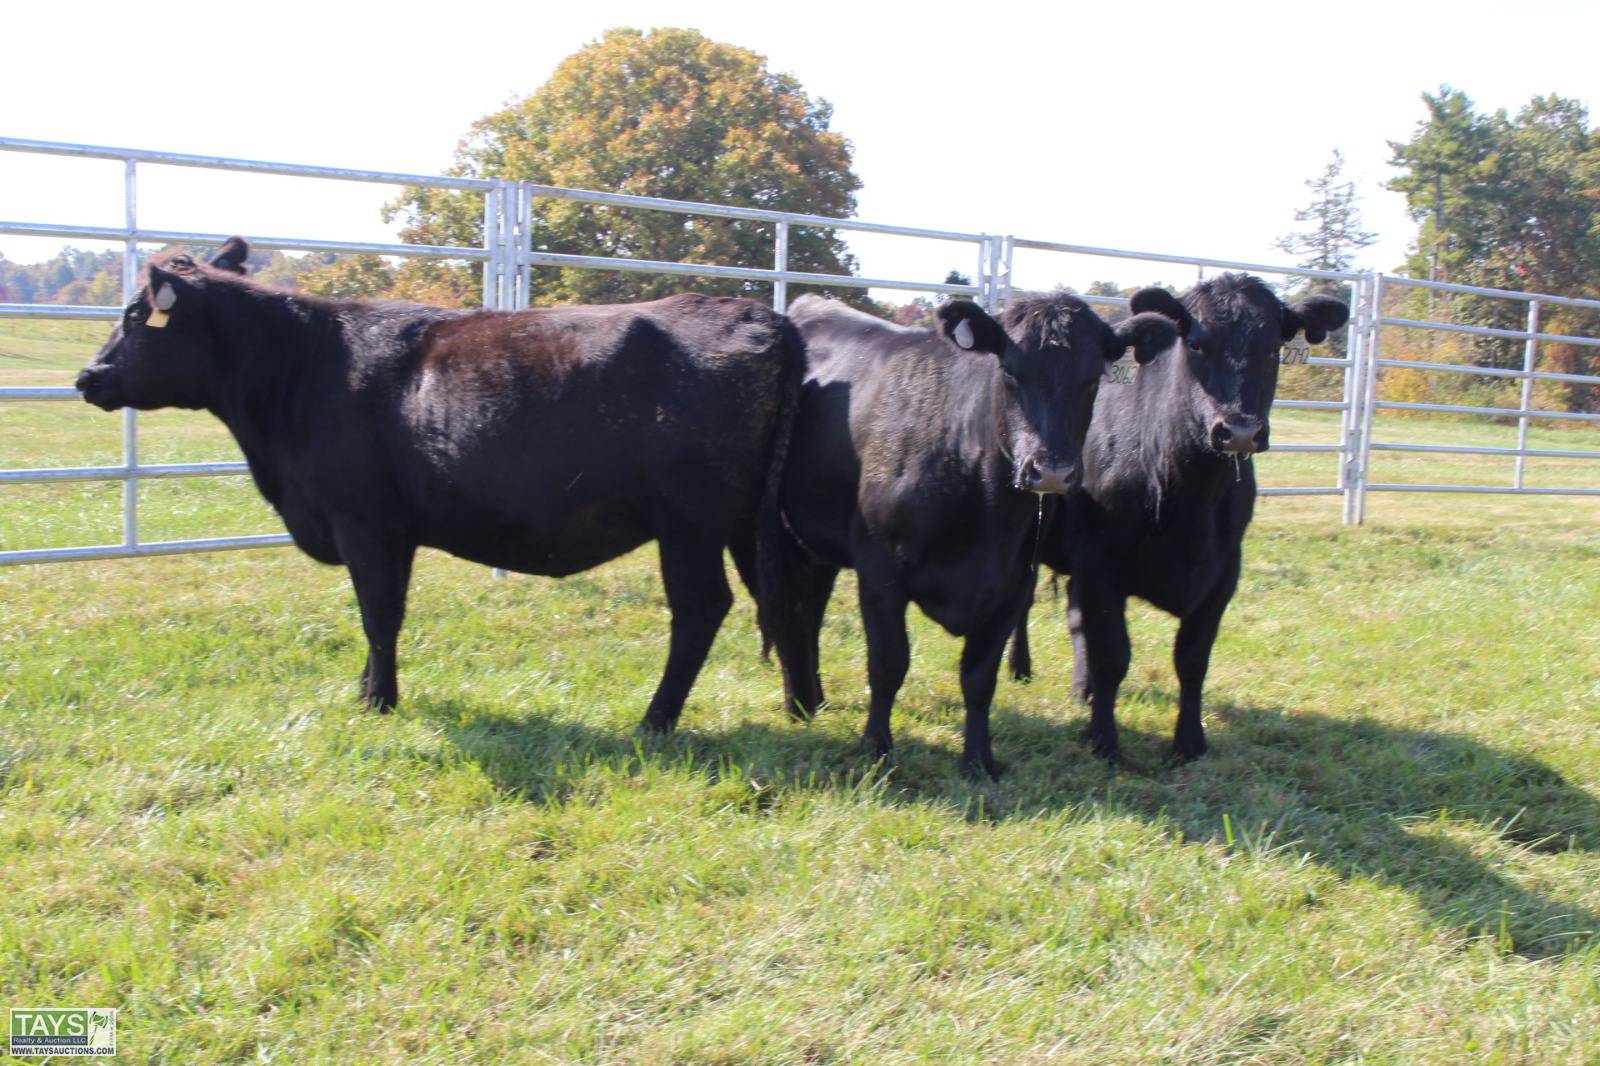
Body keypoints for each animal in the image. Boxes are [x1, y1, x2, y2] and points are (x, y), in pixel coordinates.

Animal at [74, 237, 811, 730]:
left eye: (136, 317)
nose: (87, 376)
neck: (302, 369)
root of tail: (760, 314)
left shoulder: (365, 521)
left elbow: (379, 612)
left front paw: (379, 702)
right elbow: (377, 614)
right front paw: (367, 690)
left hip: (690, 524)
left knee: (702, 609)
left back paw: (655, 720)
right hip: (749, 522)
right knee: (784, 601)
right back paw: (802, 705)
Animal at [769, 292, 1180, 777]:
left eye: (1093, 377)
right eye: (1009, 370)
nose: (1052, 470)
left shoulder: (1014, 582)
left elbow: (980, 677)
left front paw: (979, 760)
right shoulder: (880, 569)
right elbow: (888, 662)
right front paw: (876, 748)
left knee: (811, 607)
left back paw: (814, 699)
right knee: (792, 612)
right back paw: (799, 704)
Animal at [1006, 274, 1349, 762]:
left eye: (1273, 348)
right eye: (1198, 344)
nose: (1239, 429)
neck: (1190, 498)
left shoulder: (1224, 572)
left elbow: (1192, 658)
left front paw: (1189, 741)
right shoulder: (1100, 564)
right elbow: (1113, 654)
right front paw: (1104, 740)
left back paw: (1081, 689)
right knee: (1025, 605)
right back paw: (1021, 667)